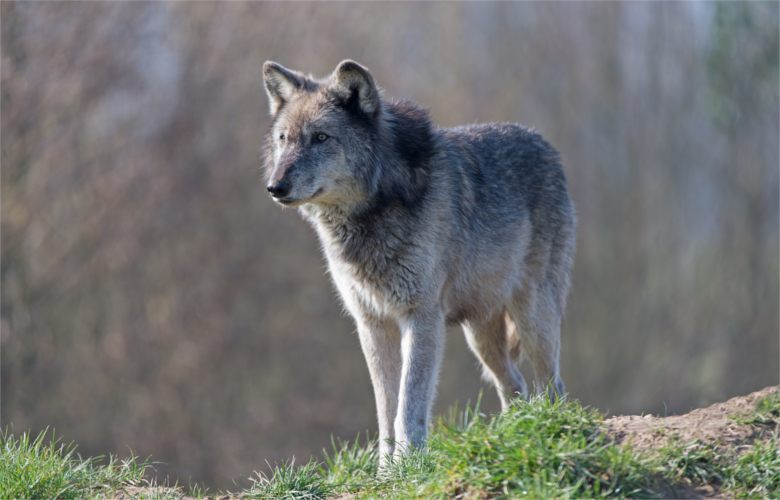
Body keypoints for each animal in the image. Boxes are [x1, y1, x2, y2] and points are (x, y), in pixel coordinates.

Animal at [262, 60, 576, 466]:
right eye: (283, 138)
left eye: (320, 137)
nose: (275, 187)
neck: (374, 210)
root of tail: (546, 145)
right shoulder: (372, 323)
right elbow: (385, 409)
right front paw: (386, 471)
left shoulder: (422, 317)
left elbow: (408, 405)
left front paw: (409, 466)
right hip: (481, 336)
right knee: (516, 386)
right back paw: (512, 439)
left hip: (532, 315)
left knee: (552, 386)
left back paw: (547, 434)